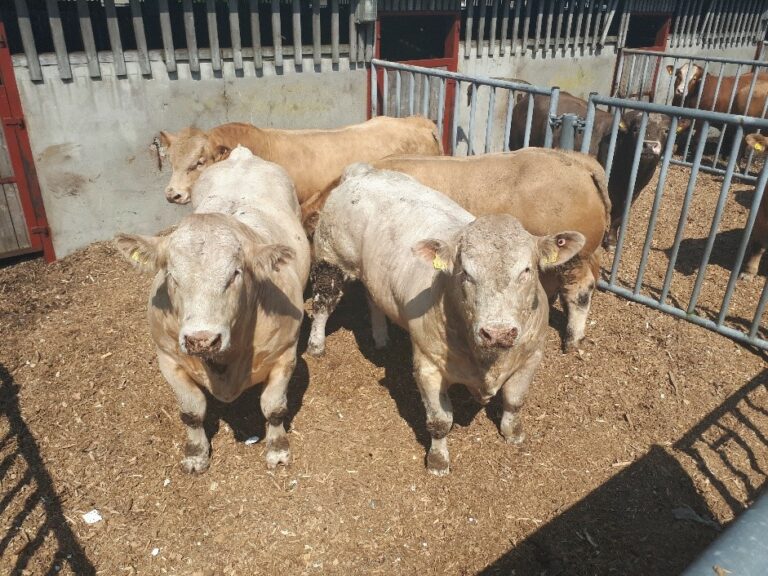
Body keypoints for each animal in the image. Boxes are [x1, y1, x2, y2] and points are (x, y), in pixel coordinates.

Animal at [115, 146, 310, 473]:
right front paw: (196, 454)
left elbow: (273, 407)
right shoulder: (168, 358)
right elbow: (191, 410)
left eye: (235, 274)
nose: (201, 339)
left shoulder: (285, 354)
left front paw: (278, 449)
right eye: (172, 276)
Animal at [307, 164, 584, 475]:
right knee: (322, 304)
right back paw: (316, 345)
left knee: (372, 299)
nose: (498, 333)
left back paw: (381, 338)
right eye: (465, 272)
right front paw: (438, 461)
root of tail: (361, 171)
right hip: (330, 259)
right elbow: (439, 422)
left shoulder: (531, 356)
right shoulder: (427, 366)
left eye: (526, 270)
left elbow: (514, 401)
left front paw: (514, 434)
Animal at [508, 91, 671, 246]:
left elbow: (618, 217)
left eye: (666, 131)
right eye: (636, 129)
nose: (650, 145)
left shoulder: (634, 193)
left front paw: (611, 241)